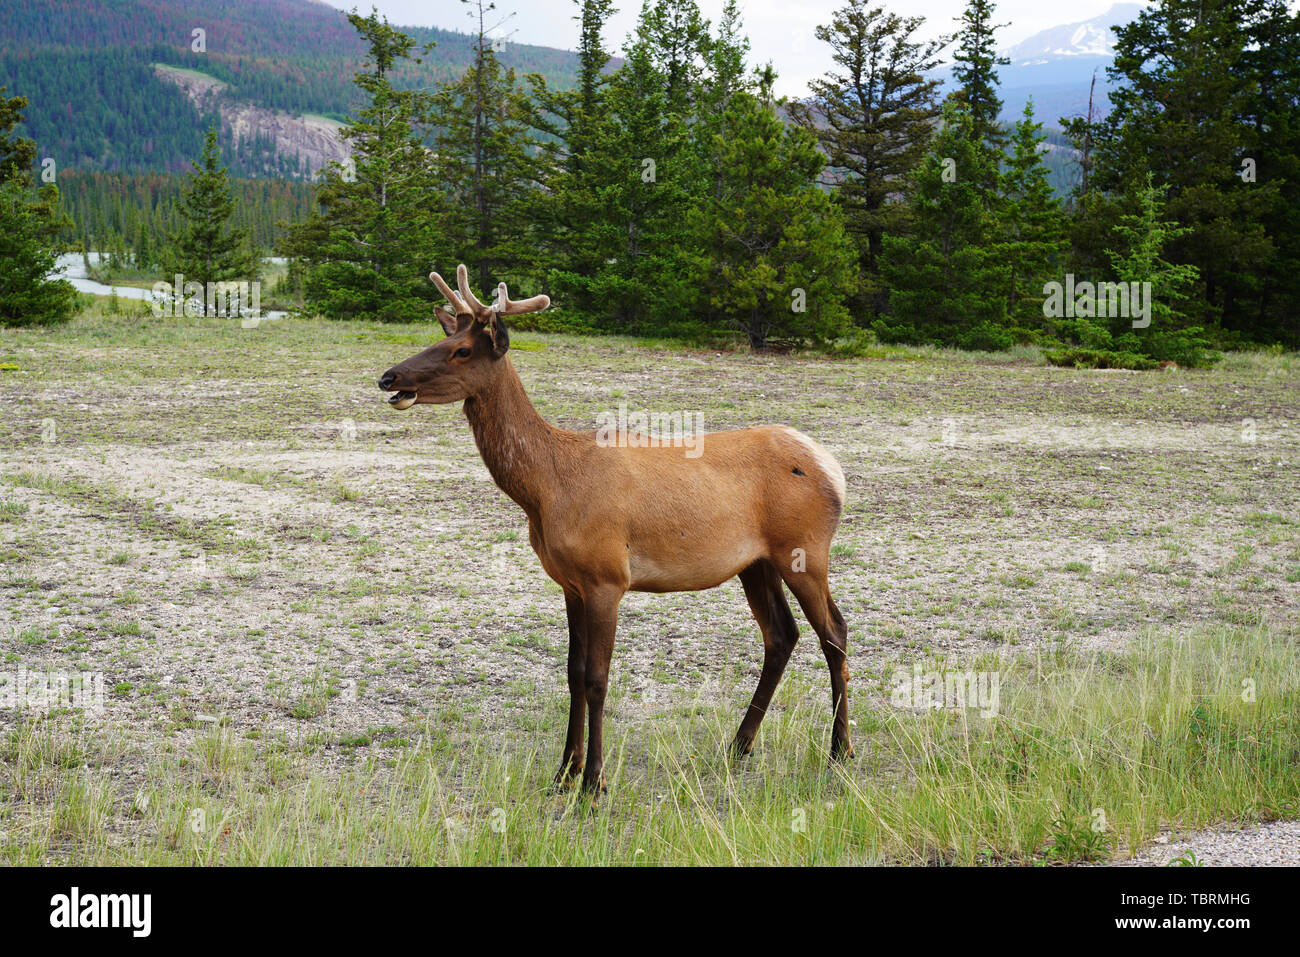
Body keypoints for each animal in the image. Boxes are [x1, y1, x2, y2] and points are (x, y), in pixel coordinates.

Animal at [378, 265, 853, 795]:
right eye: (440, 337)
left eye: (461, 350)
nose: (388, 377)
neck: (546, 490)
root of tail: (832, 467)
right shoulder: (570, 582)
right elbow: (571, 672)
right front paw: (564, 772)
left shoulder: (608, 576)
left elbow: (597, 678)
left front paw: (595, 782)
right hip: (756, 562)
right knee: (782, 635)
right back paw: (740, 744)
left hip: (805, 548)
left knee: (834, 632)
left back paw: (839, 751)